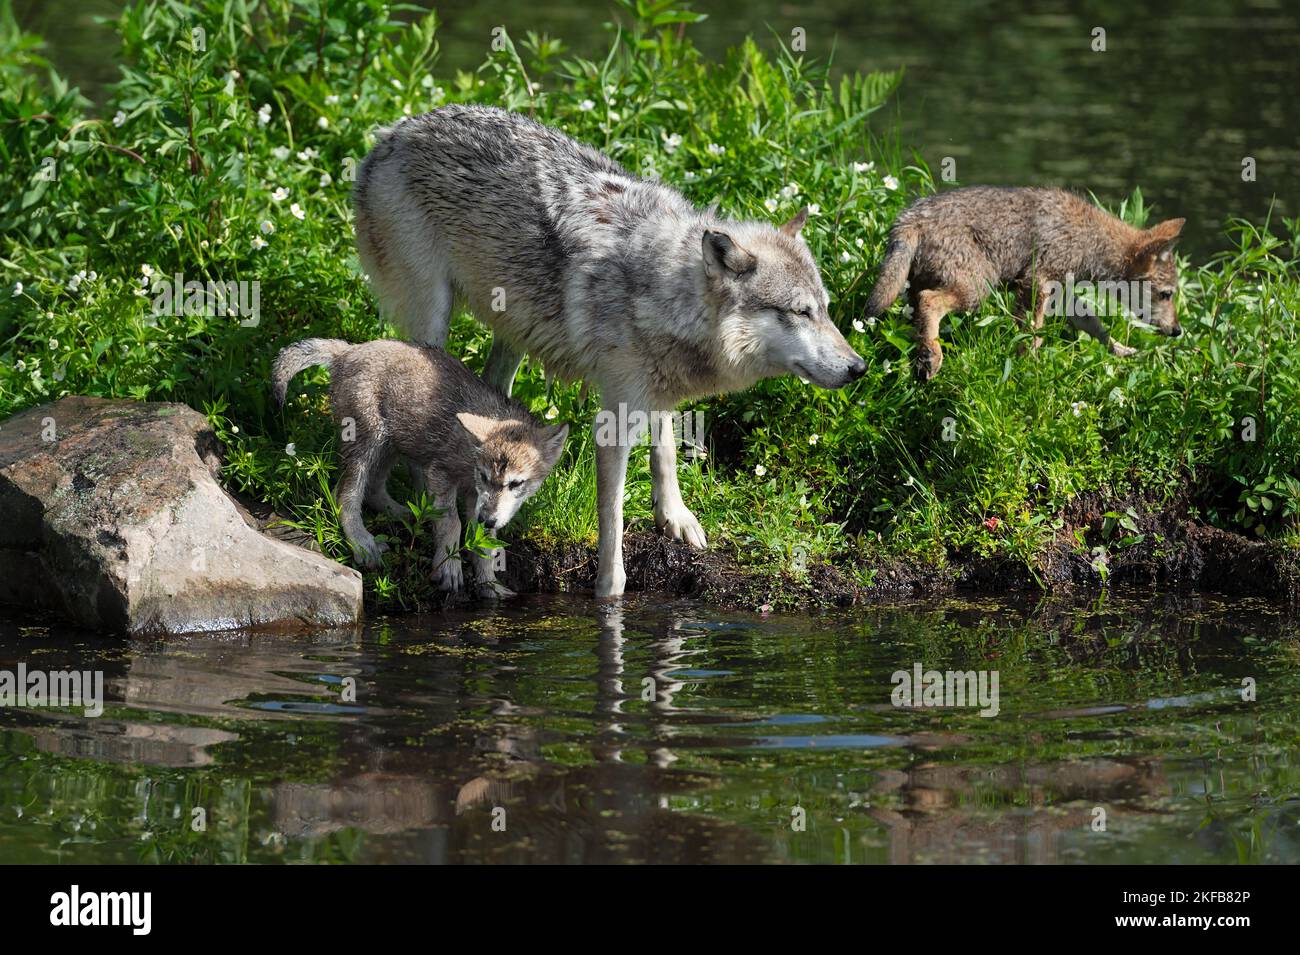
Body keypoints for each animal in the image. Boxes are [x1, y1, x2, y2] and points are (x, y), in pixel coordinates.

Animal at [272, 337, 568, 595]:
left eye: (516, 483)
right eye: (484, 476)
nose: (488, 518)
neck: (468, 455)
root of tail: (347, 350)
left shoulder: (475, 498)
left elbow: (482, 543)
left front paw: (489, 586)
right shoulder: (440, 474)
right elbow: (452, 524)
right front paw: (449, 569)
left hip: (391, 444)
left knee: (373, 489)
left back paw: (407, 514)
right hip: (367, 441)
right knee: (344, 495)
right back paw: (362, 542)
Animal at [353, 105, 865, 598]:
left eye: (824, 309)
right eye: (800, 312)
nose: (859, 368)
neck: (663, 292)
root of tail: (391, 133)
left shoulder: (656, 389)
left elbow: (665, 454)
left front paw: (674, 518)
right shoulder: (614, 418)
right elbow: (612, 514)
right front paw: (609, 591)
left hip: (513, 334)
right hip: (432, 321)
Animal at [862, 186, 1186, 380]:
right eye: (1167, 295)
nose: (1178, 331)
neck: (1091, 242)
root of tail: (909, 216)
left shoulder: (1062, 294)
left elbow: (1096, 327)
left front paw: (1122, 351)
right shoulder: (1036, 283)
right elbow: (1033, 334)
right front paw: (1027, 366)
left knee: (916, 312)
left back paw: (922, 355)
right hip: (977, 289)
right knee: (929, 301)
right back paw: (933, 356)